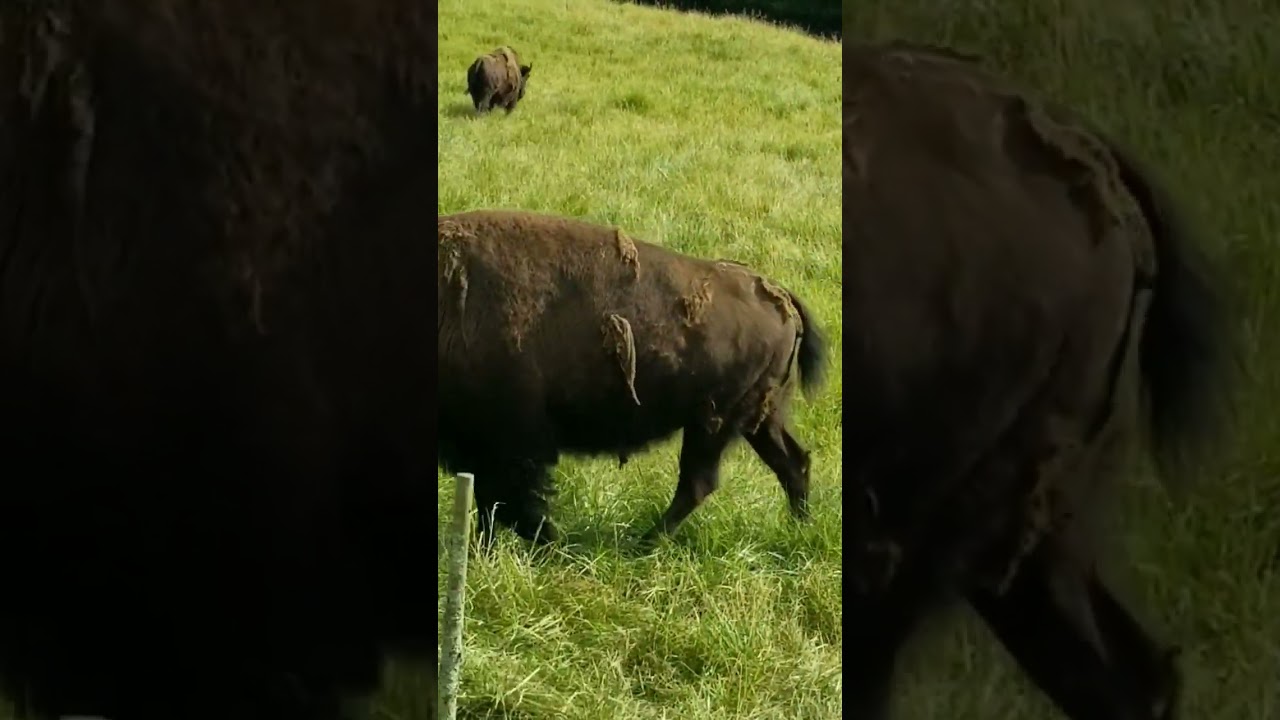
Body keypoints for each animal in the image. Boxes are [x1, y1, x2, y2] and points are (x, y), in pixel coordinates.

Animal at [437, 209, 829, 546]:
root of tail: (779, 295)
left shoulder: (509, 446)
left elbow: (513, 504)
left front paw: (547, 544)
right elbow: (489, 505)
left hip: (714, 423)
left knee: (698, 482)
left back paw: (644, 544)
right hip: (760, 418)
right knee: (792, 463)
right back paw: (799, 528)